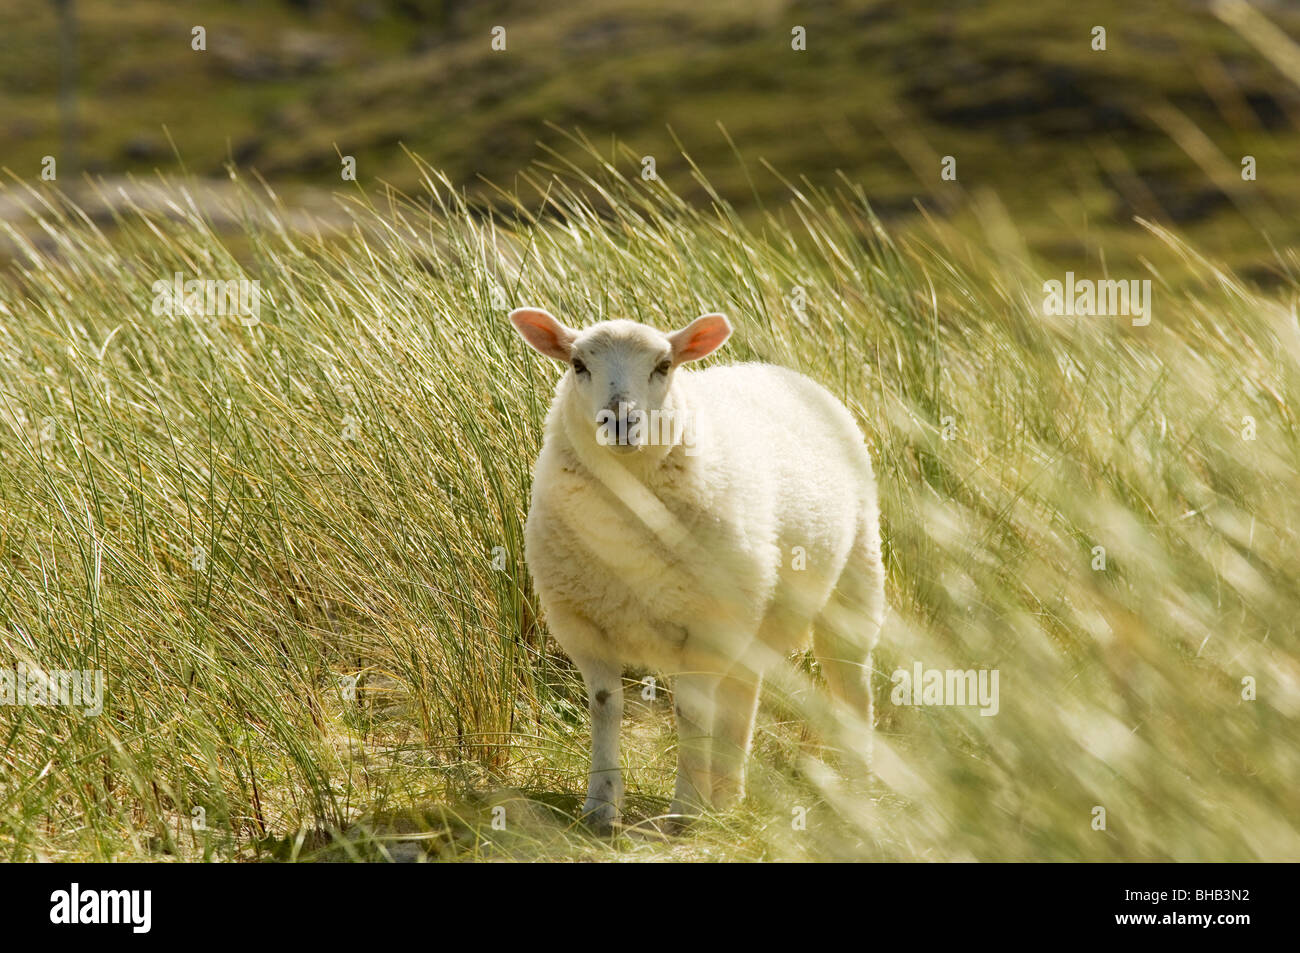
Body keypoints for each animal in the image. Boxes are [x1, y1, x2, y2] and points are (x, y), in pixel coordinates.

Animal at [509, 306, 885, 832]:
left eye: (664, 365)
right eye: (578, 364)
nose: (621, 421)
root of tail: (777, 369)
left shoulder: (706, 626)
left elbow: (690, 713)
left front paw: (684, 811)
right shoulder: (581, 623)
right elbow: (605, 708)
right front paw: (601, 808)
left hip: (853, 577)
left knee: (852, 688)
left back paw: (857, 788)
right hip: (752, 609)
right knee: (743, 692)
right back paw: (728, 794)